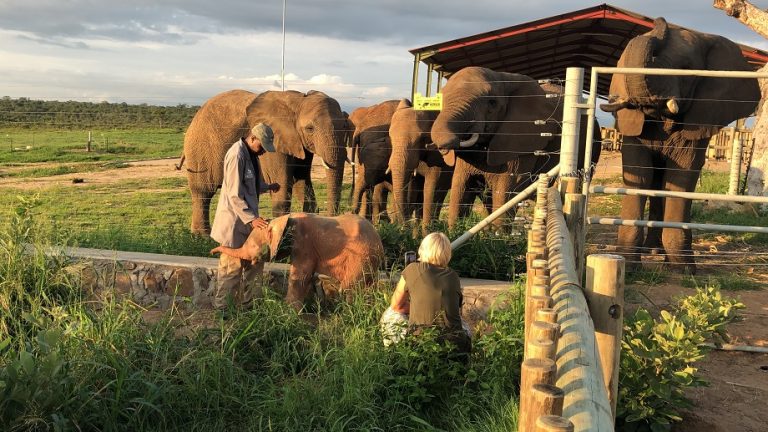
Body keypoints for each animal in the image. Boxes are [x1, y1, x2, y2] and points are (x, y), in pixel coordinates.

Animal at [184, 89, 348, 235]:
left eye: (345, 126)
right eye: (310, 128)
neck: (299, 101)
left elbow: (302, 181)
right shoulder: (275, 141)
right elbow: (282, 184)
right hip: (200, 149)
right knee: (202, 192)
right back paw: (202, 237)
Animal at [210, 213, 385, 310]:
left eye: (253, 246)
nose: (211, 251)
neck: (284, 219)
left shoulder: (304, 244)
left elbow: (300, 275)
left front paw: (287, 310)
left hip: (360, 258)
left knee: (350, 287)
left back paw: (348, 313)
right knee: (369, 286)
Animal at [600, 17, 761, 273]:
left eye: (686, 68)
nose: (660, 20)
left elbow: (681, 177)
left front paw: (683, 270)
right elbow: (639, 174)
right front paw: (628, 264)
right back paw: (652, 251)